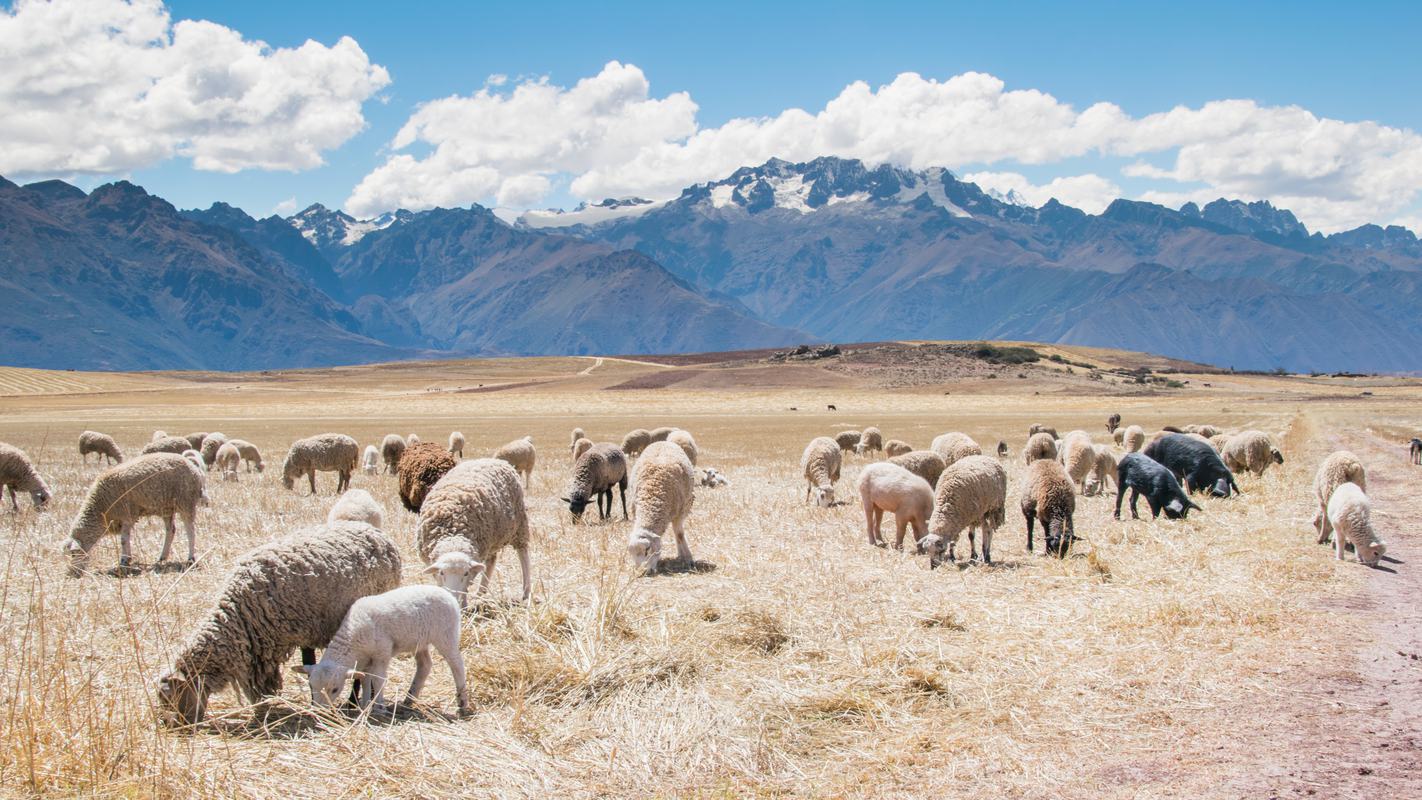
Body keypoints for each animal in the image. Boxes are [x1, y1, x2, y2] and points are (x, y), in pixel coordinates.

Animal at [64, 453, 206, 573]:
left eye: (74, 553)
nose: (73, 572)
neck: (100, 507)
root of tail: (194, 467)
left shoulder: (127, 514)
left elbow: (123, 540)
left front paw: (123, 562)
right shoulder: (122, 519)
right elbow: (125, 538)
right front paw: (127, 559)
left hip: (186, 502)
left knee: (190, 531)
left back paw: (190, 558)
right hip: (167, 508)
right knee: (171, 530)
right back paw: (162, 557)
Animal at [153, 521, 402, 726]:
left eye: (171, 696)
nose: (175, 725)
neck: (240, 615)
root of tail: (377, 532)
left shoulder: (303, 630)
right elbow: (308, 664)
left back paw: (352, 702)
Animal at [294, 585, 469, 716]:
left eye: (335, 689)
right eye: (311, 686)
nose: (320, 712)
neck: (351, 636)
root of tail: (447, 594)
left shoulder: (382, 654)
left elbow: (378, 679)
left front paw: (379, 707)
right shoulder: (365, 660)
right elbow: (364, 680)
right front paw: (365, 705)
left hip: (446, 634)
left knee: (457, 664)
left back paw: (462, 702)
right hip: (420, 641)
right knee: (425, 664)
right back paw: (409, 699)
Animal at [418, 458, 531, 604]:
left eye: (465, 573)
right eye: (442, 572)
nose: (454, 598)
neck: (452, 535)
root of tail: (496, 460)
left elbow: (465, 588)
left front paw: (463, 604)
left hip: (520, 523)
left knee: (523, 554)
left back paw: (526, 592)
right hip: (492, 538)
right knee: (491, 561)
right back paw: (481, 592)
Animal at [626, 441, 696, 573]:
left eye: (647, 550)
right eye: (631, 553)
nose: (643, 571)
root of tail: (663, 441)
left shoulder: (679, 513)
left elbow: (679, 534)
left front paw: (688, 558)